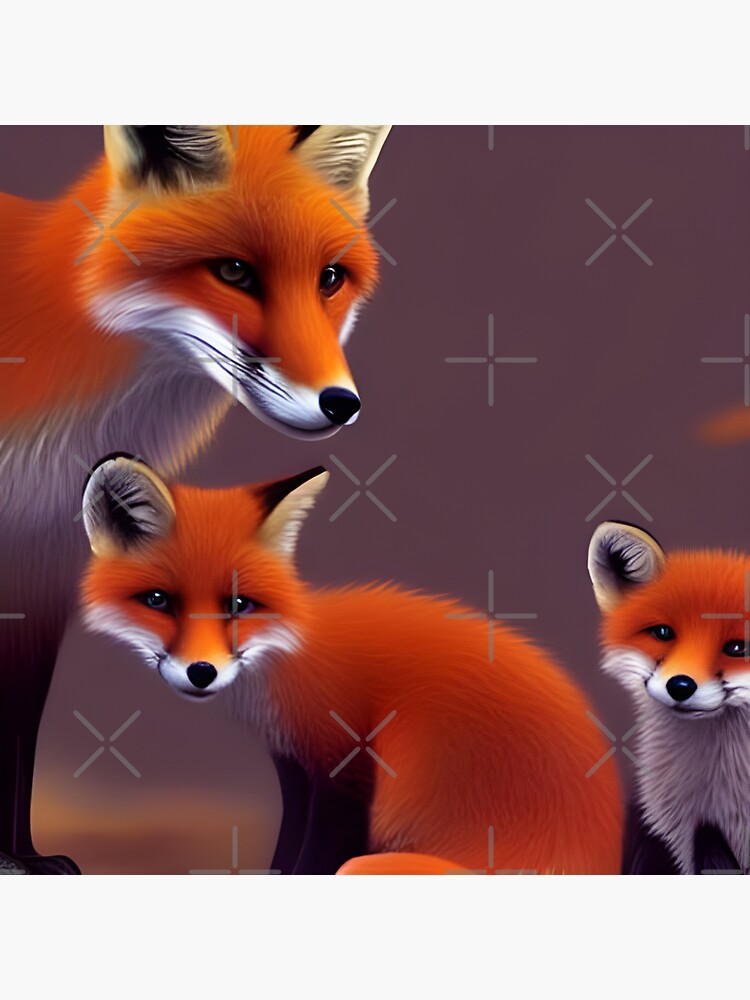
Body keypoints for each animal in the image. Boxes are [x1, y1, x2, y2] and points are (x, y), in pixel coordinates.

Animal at [0, 125, 390, 873]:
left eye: (330, 278)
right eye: (234, 272)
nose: (341, 403)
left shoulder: (41, 561)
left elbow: (21, 724)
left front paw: (20, 856)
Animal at [78, 455, 623, 875]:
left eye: (238, 604)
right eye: (159, 600)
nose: (201, 671)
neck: (289, 657)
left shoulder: (347, 768)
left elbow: (314, 858)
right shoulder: (297, 765)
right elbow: (286, 852)